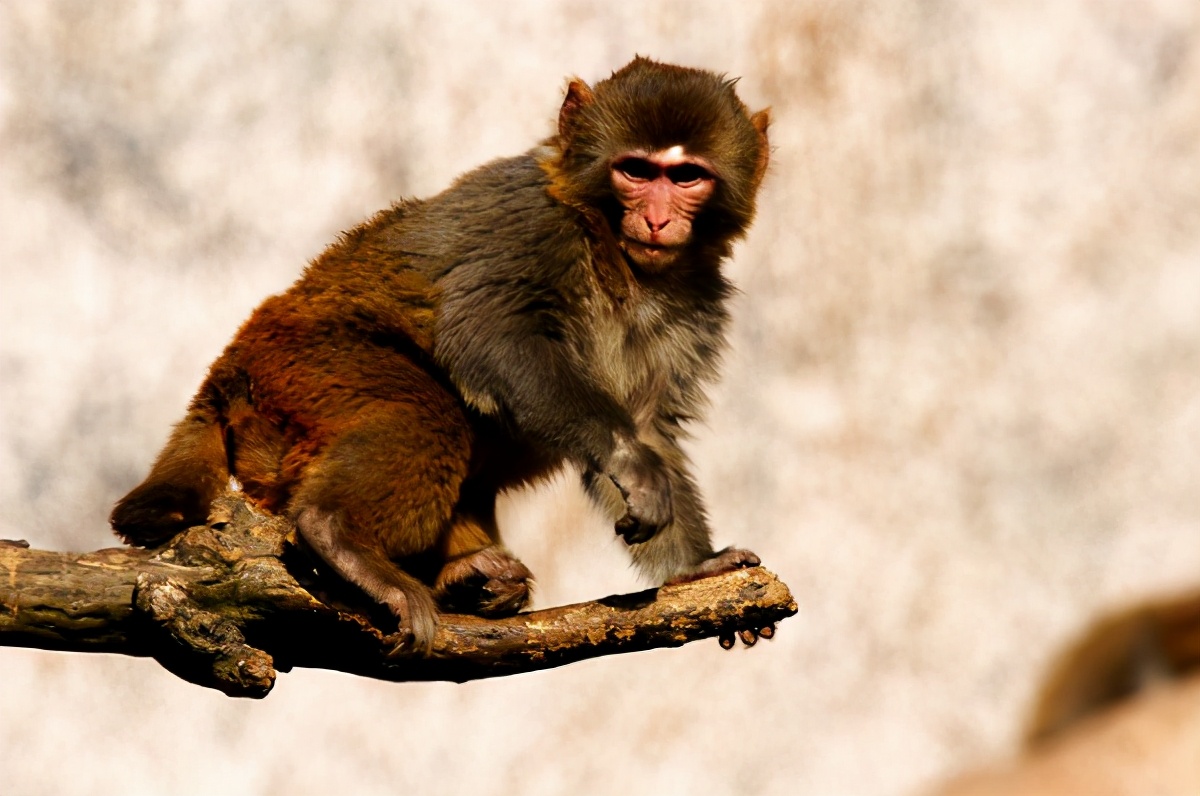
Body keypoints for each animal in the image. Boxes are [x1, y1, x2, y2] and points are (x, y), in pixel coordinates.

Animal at [111, 57, 771, 653]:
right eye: (636, 170)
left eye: (686, 177)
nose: (657, 218)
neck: (616, 252)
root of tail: (229, 368)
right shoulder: (535, 222)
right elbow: (484, 332)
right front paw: (629, 461)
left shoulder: (694, 301)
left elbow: (651, 423)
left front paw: (693, 567)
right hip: (307, 361)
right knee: (430, 413)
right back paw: (338, 535)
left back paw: (463, 576)